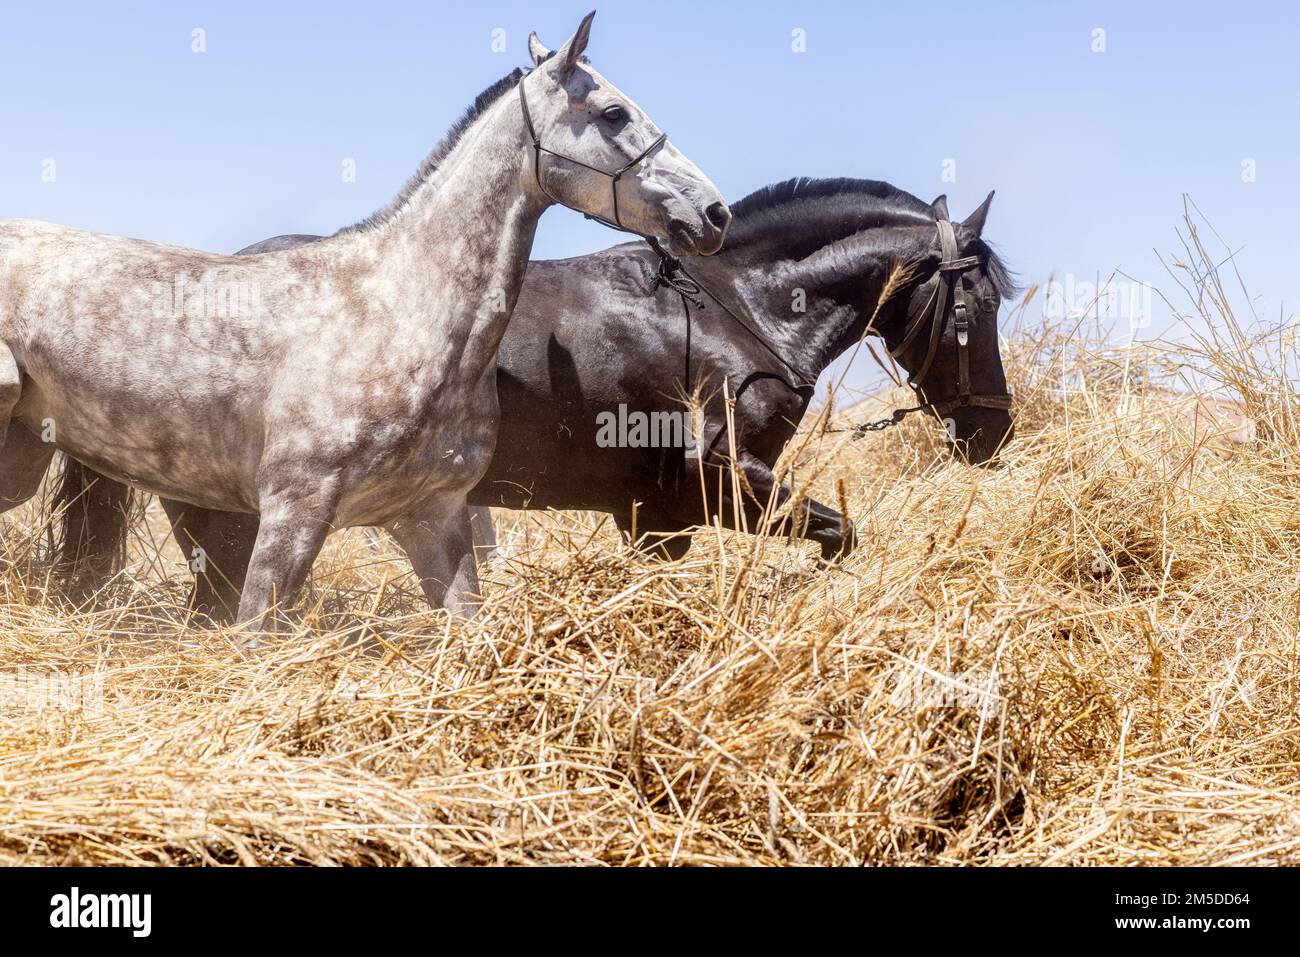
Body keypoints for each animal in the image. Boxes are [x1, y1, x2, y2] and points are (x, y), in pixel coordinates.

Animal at [46, 178, 1014, 622]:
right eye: (976, 305)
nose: (993, 430)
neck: (740, 307)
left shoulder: (654, 516)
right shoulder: (723, 481)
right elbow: (840, 533)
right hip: (233, 524)